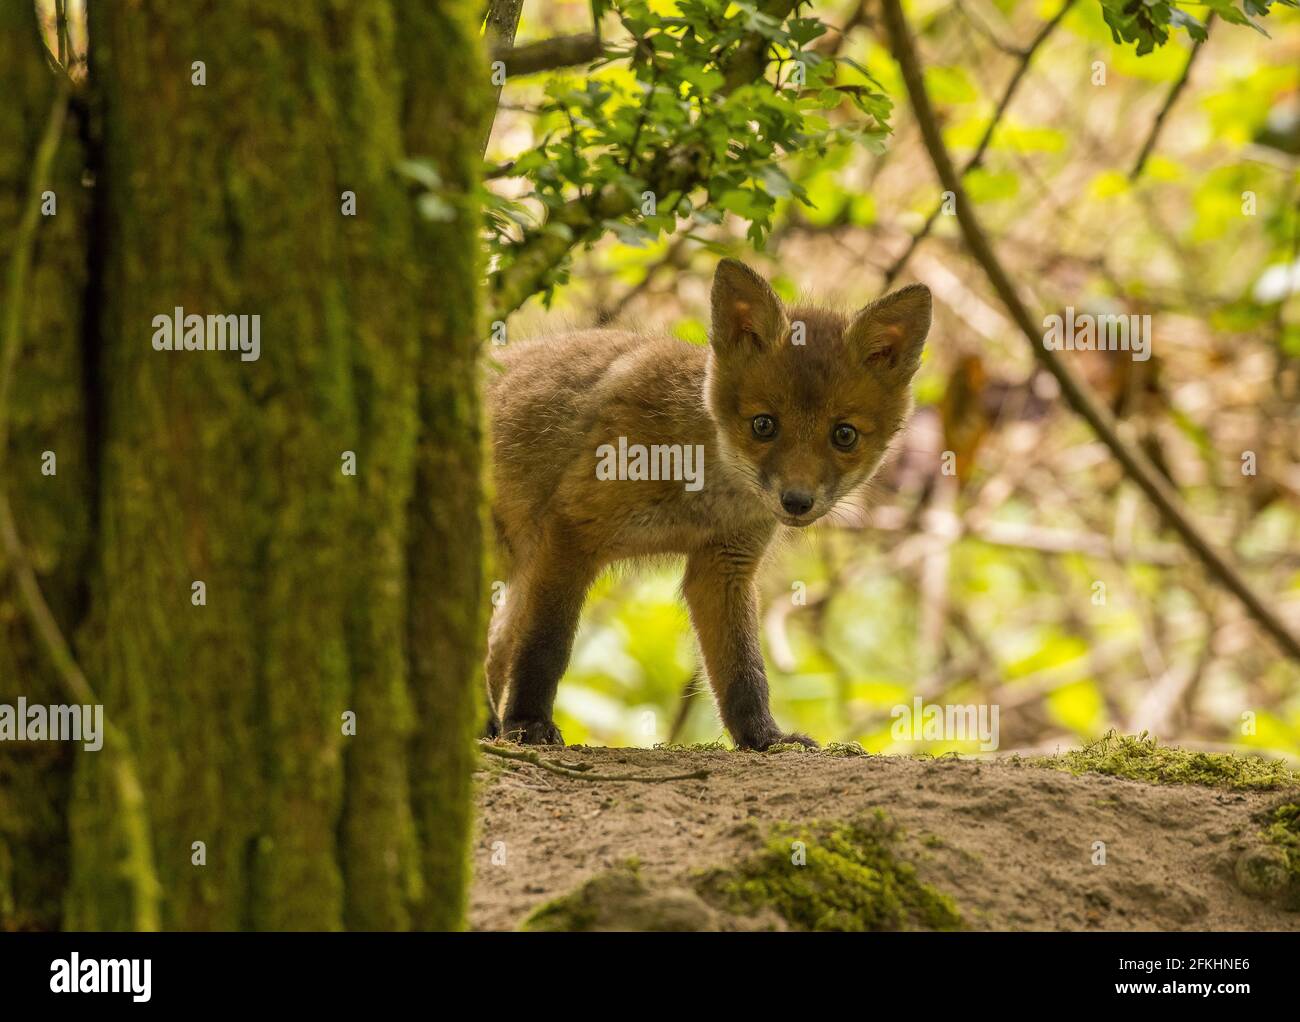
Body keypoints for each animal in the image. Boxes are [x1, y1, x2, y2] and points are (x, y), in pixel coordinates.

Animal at [485, 258, 932, 750]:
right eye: (763, 425)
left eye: (844, 435)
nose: (796, 502)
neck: (703, 493)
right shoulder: (570, 531)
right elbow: (545, 647)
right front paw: (528, 723)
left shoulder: (724, 564)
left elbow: (743, 671)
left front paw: (763, 738)